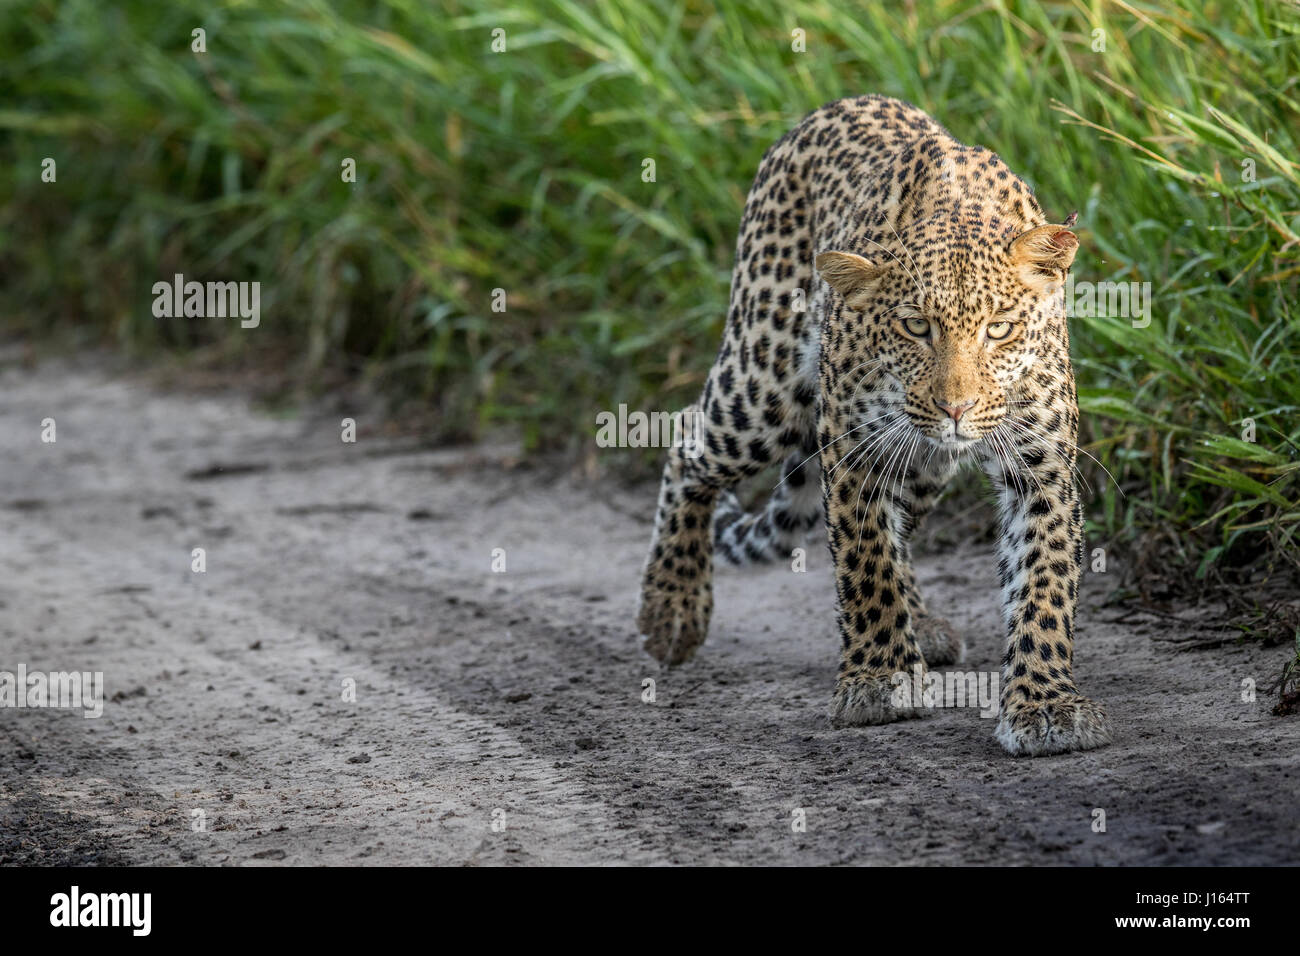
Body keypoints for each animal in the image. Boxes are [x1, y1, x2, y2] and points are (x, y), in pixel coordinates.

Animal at [635, 94, 1112, 756]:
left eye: (999, 329)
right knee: (686, 444)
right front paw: (881, 682)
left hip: (925, 464)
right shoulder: (852, 451)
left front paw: (1044, 705)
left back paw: (925, 627)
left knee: (903, 521)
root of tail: (840, 104)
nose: (956, 407)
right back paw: (672, 610)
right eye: (915, 327)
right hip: (764, 384)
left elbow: (1044, 578)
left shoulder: (1040, 463)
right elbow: (867, 564)